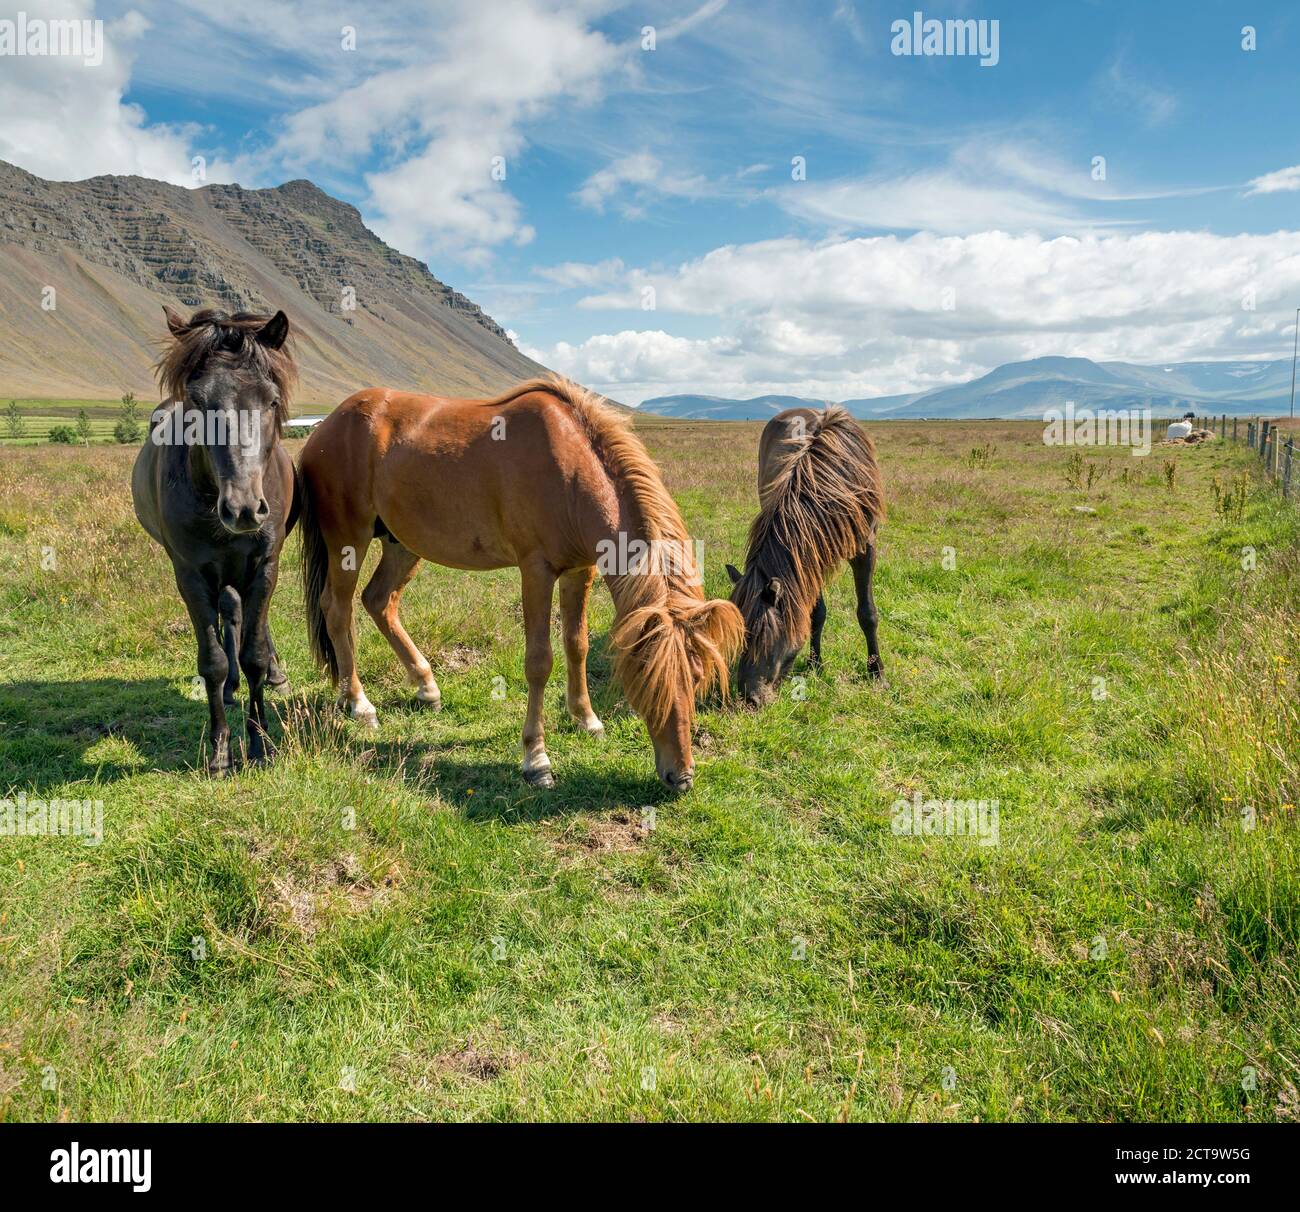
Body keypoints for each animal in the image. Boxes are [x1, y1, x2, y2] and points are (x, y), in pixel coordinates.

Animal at [132, 307, 297, 774]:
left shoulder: (265, 565)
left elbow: (253, 654)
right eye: (198, 402)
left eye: (271, 401)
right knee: (230, 613)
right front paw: (221, 749)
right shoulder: (190, 574)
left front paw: (259, 744)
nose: (243, 509)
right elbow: (214, 661)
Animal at [296, 376, 743, 792]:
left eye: (697, 678)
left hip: (401, 544)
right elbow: (539, 662)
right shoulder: (536, 571)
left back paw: (425, 685)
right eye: (648, 680)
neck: (570, 469)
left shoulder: (580, 571)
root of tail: (327, 425)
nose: (681, 777)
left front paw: (587, 719)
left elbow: (577, 645)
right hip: (347, 539)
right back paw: (359, 703)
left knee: (379, 601)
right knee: (338, 610)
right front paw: (536, 758)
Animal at [725, 405, 885, 705]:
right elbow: (816, 613)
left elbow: (867, 613)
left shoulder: (865, 549)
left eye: (764, 637)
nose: (749, 698)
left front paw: (877, 672)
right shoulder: (809, 559)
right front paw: (815, 663)